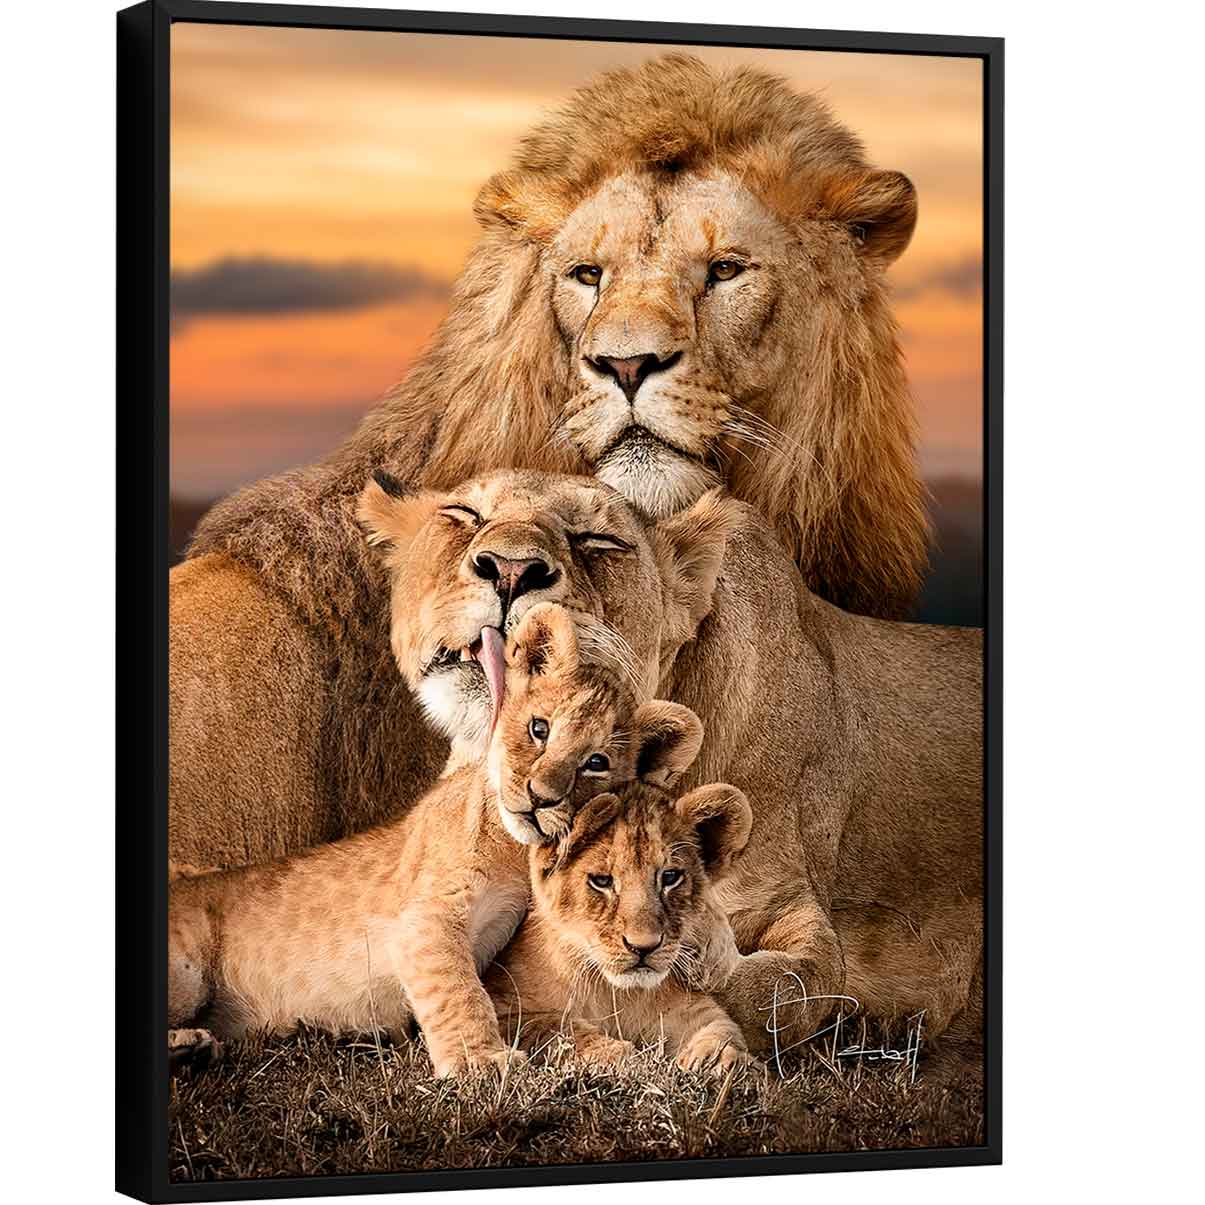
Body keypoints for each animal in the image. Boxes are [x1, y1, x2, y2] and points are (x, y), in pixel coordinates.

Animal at [167, 601, 706, 1077]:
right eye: (540, 729)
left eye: (597, 763)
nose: (539, 797)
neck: (515, 852)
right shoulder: (425, 917)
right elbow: (459, 990)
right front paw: (480, 1062)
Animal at [488, 781, 756, 1075]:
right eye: (602, 881)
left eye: (670, 877)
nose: (644, 947)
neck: (613, 993)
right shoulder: (505, 1007)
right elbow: (555, 1027)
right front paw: (618, 1055)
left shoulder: (682, 1005)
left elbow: (720, 1024)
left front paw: (717, 1058)